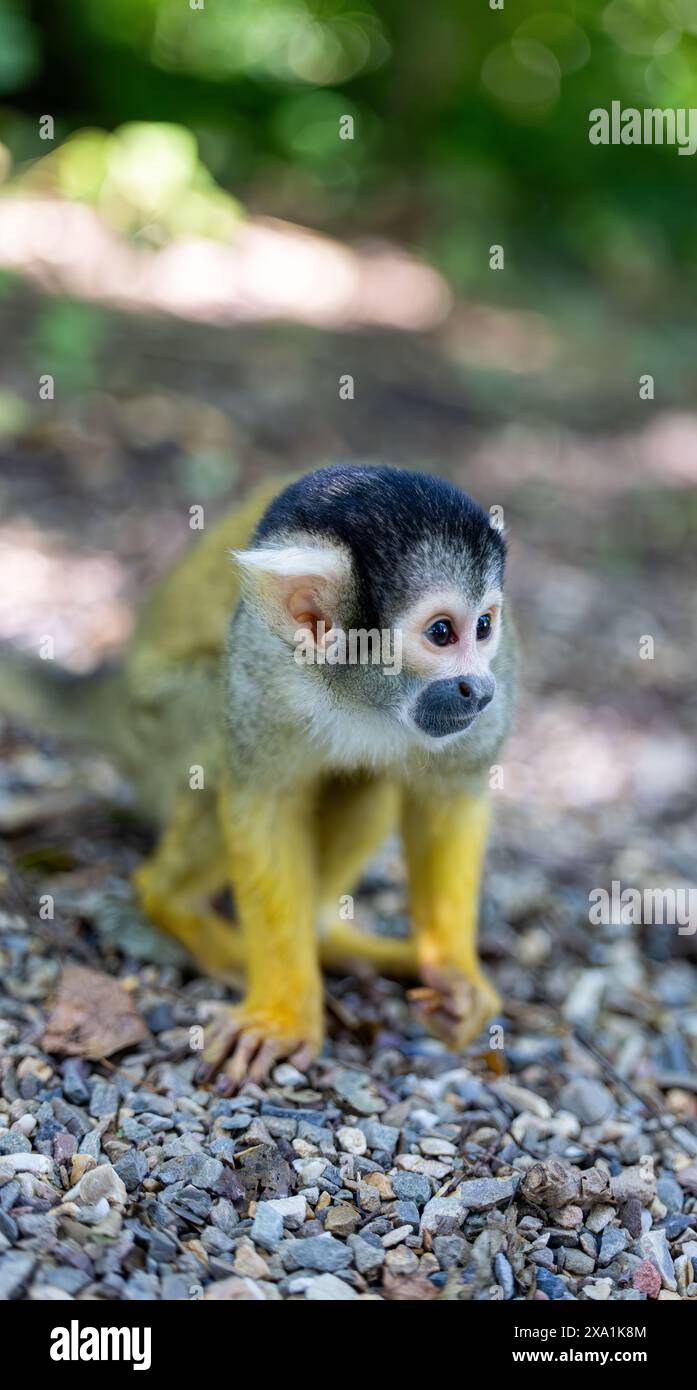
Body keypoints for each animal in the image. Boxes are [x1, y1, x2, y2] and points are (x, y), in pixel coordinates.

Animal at [0, 465, 517, 1091]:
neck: (357, 687)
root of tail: (116, 689)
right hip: (156, 720)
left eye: (484, 626)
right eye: (441, 633)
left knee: (368, 777)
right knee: (215, 752)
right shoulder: (259, 662)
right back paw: (175, 903)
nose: (477, 689)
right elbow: (261, 802)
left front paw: (455, 977)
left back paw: (329, 937)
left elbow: (451, 796)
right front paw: (282, 1016)